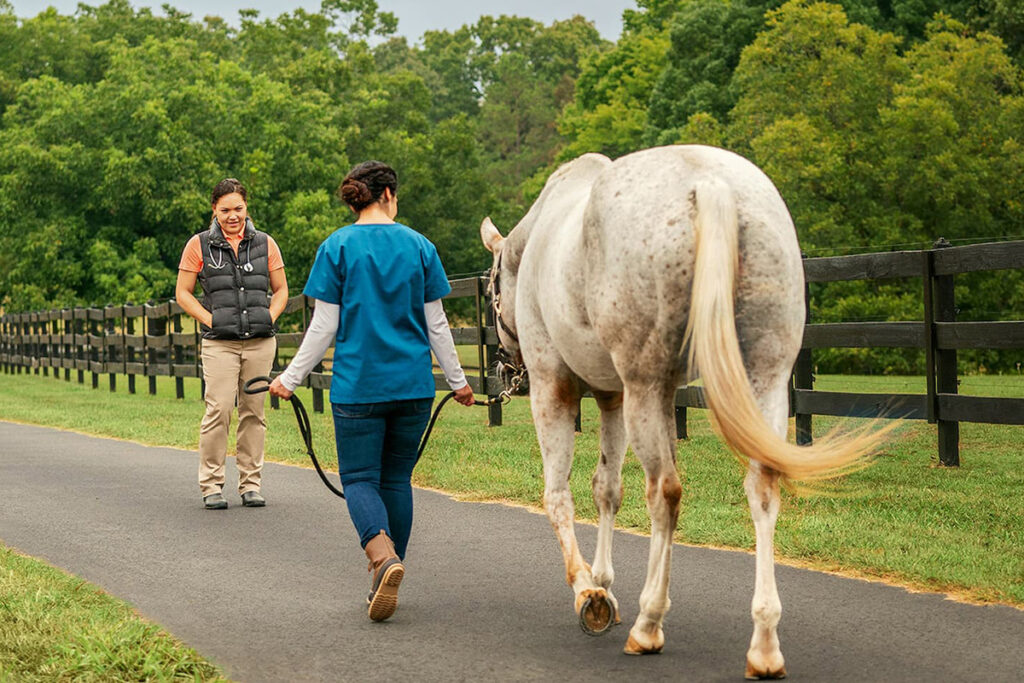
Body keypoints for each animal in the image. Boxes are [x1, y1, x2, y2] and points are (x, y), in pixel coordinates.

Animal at [479, 145, 885, 678]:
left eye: (490, 295)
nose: (507, 369)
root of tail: (711, 183)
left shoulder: (558, 387)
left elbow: (559, 494)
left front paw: (588, 591)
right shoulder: (613, 397)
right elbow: (607, 488)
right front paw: (604, 582)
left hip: (646, 387)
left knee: (665, 492)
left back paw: (649, 624)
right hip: (762, 377)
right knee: (762, 487)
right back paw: (764, 643)